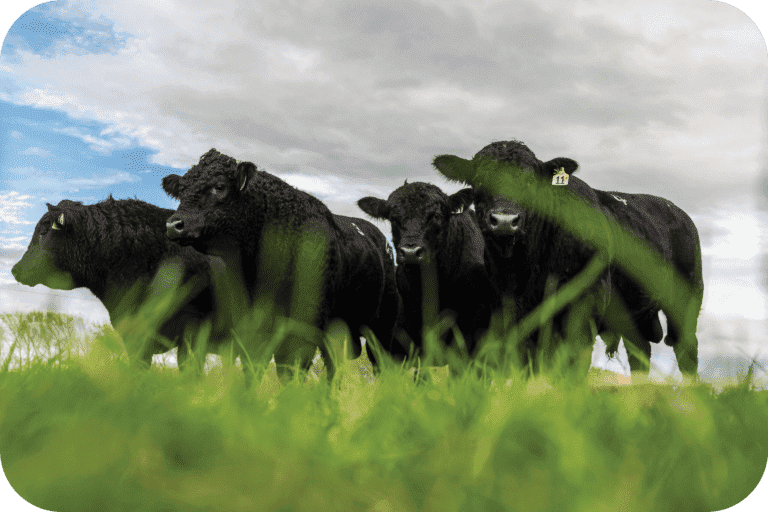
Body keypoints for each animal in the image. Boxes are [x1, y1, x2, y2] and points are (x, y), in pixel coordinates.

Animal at [162, 149, 400, 380]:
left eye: (219, 186)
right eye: (181, 189)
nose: (174, 225)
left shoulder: (305, 325)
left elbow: (291, 371)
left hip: (383, 326)